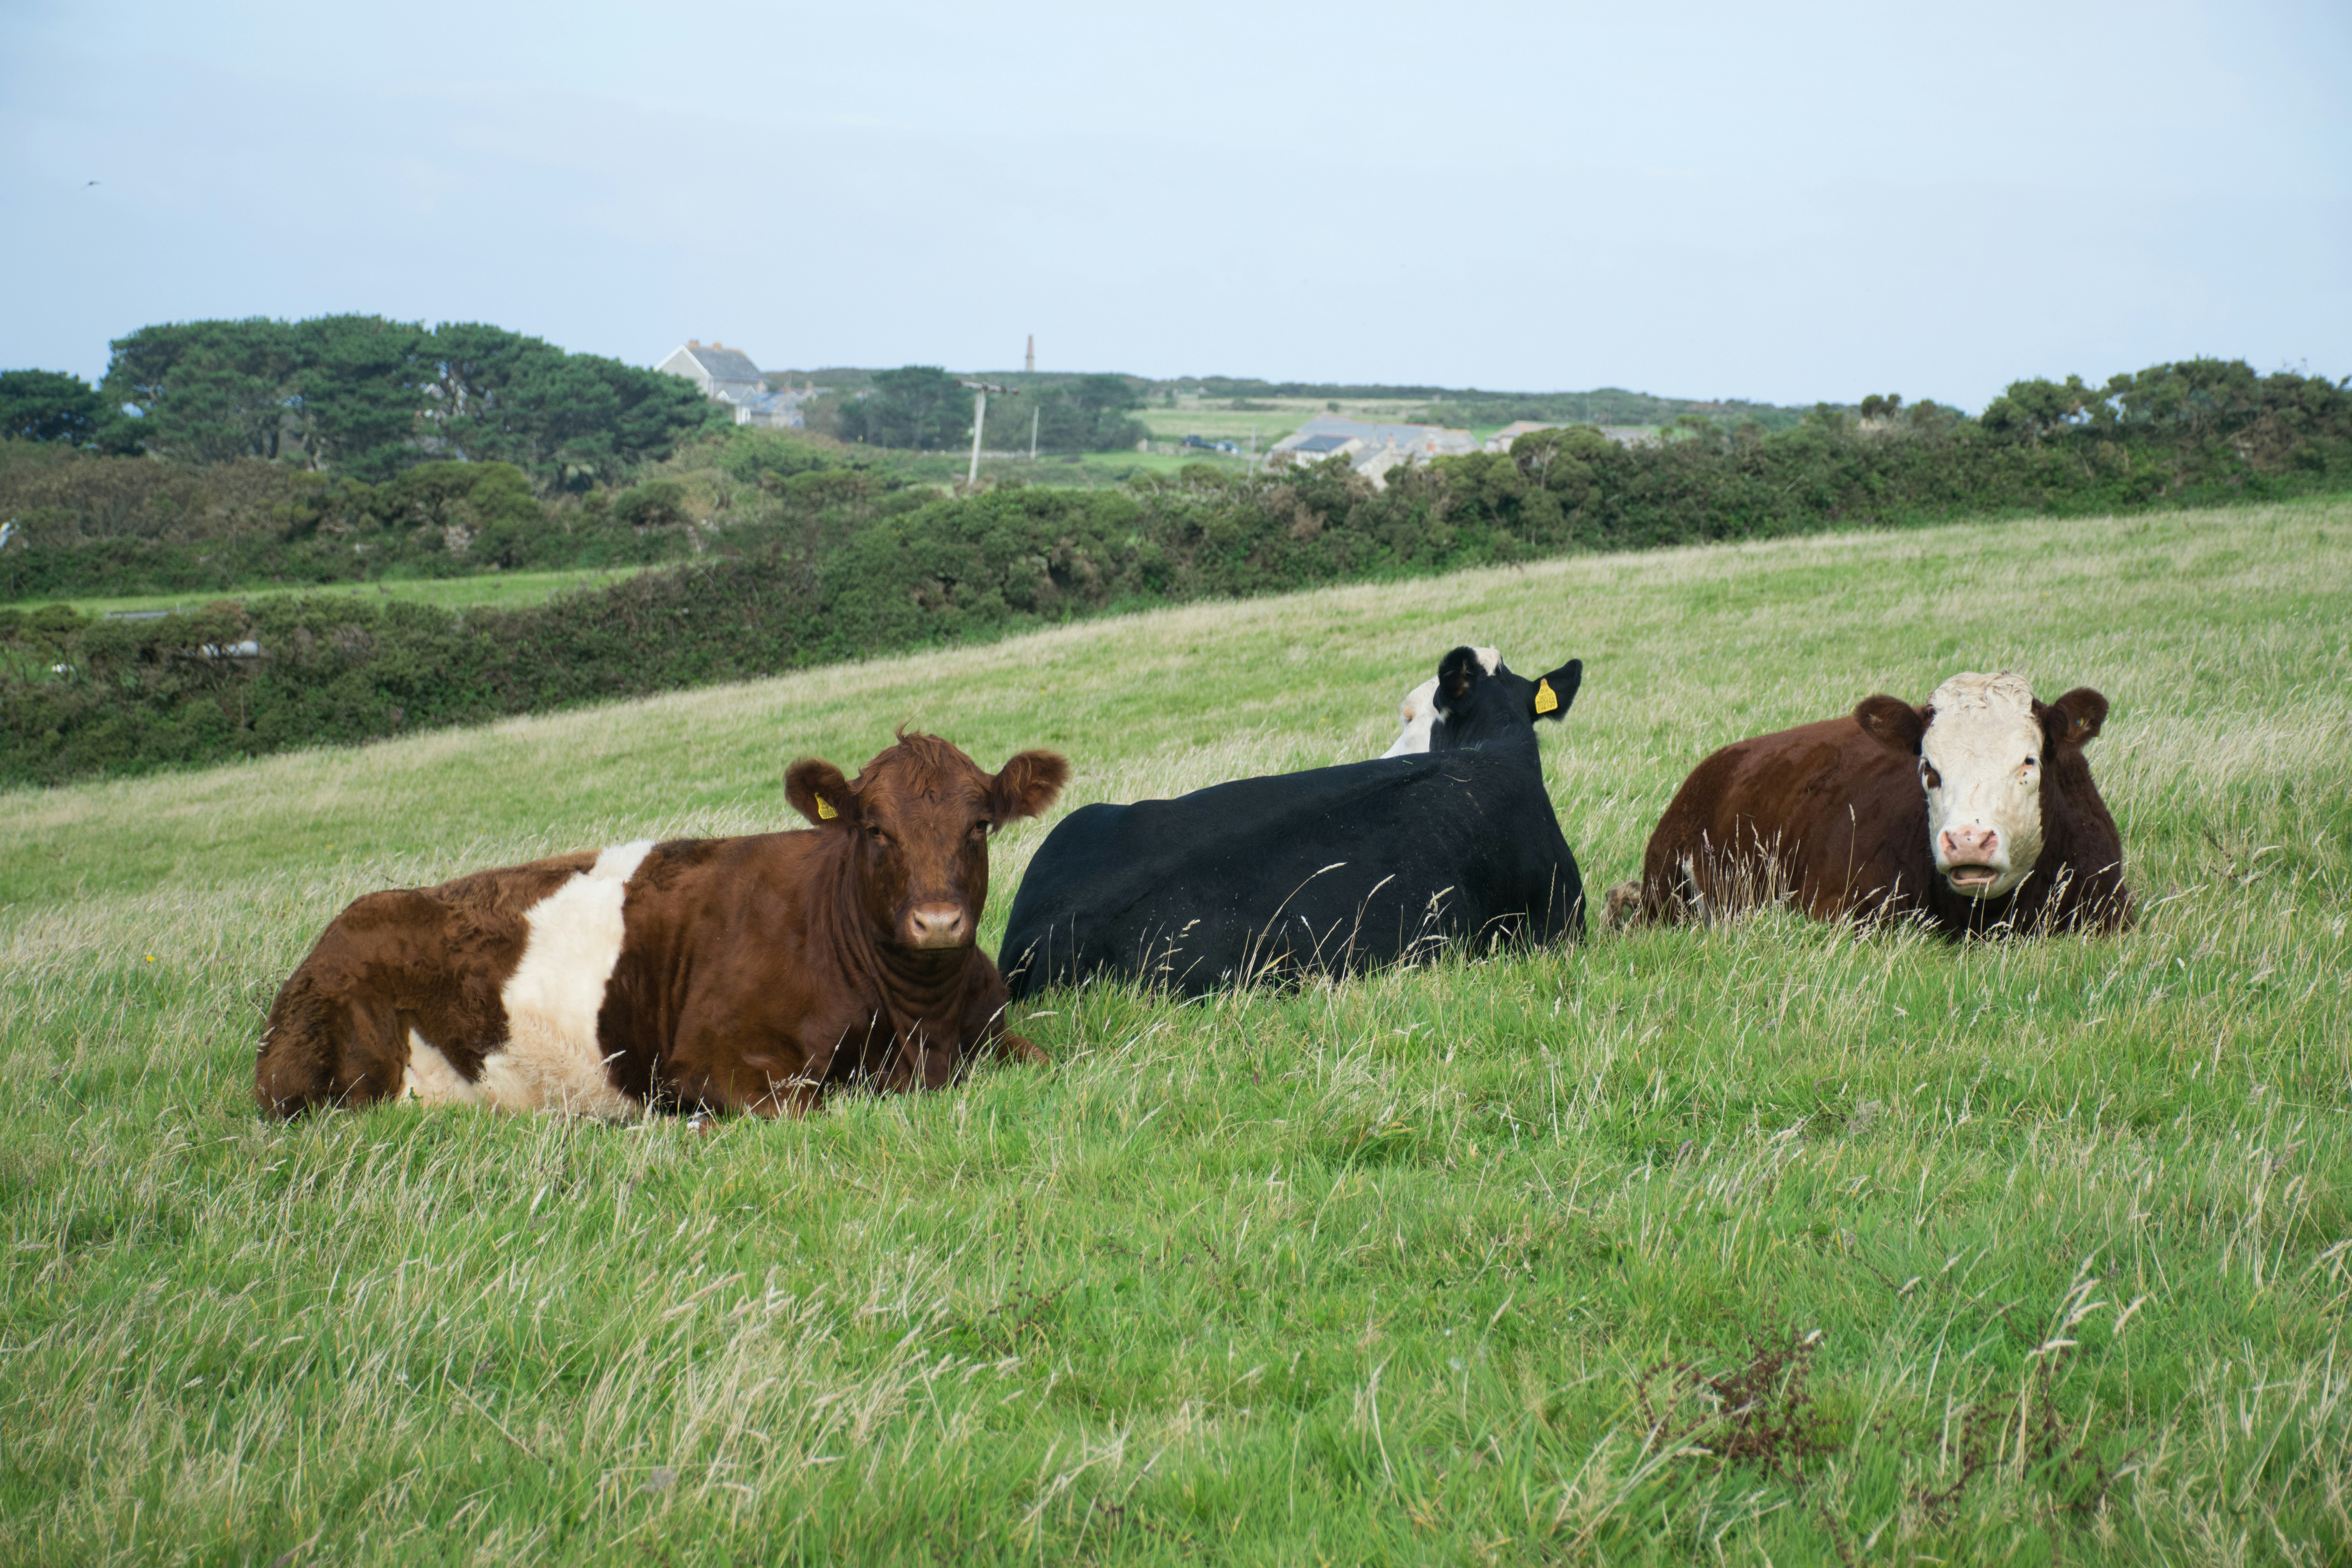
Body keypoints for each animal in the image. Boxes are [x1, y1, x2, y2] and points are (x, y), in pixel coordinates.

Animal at [253, 732, 1070, 1119]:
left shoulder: (992, 1033)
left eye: (979, 826)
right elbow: (807, 1104)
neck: (918, 1020)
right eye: (875, 830)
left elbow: (1045, 1062)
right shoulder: (709, 1058)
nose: (937, 921)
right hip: (321, 1077)